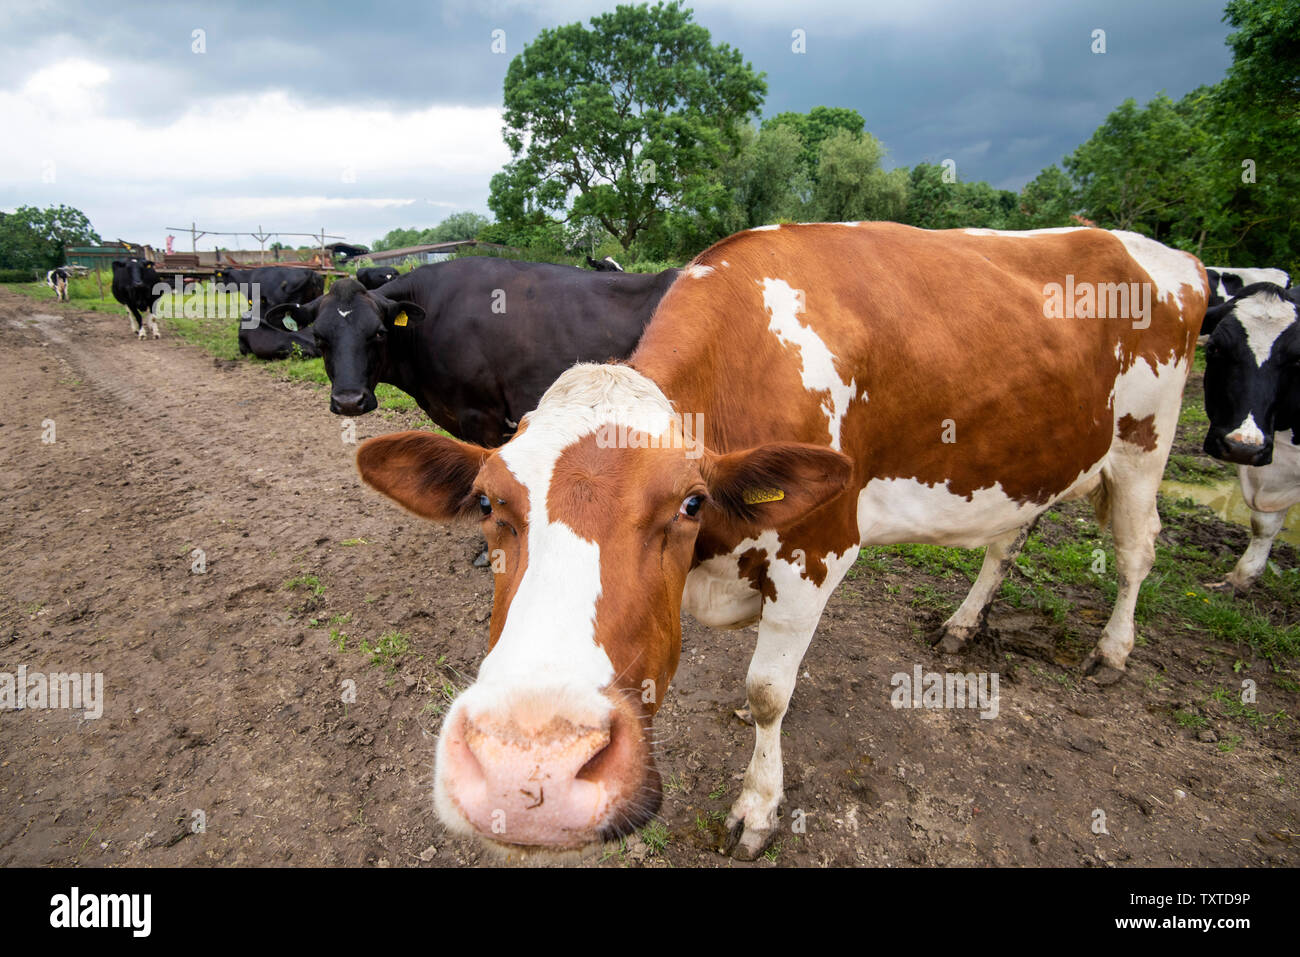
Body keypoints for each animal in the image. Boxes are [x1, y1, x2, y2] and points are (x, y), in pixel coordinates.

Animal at [351, 222, 1208, 859]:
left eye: (689, 502)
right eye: (489, 500)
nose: (527, 772)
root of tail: (1173, 256)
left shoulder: (818, 550)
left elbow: (769, 690)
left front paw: (759, 807)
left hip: (1145, 445)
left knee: (1138, 550)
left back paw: (1113, 651)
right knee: (1008, 541)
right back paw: (965, 625)